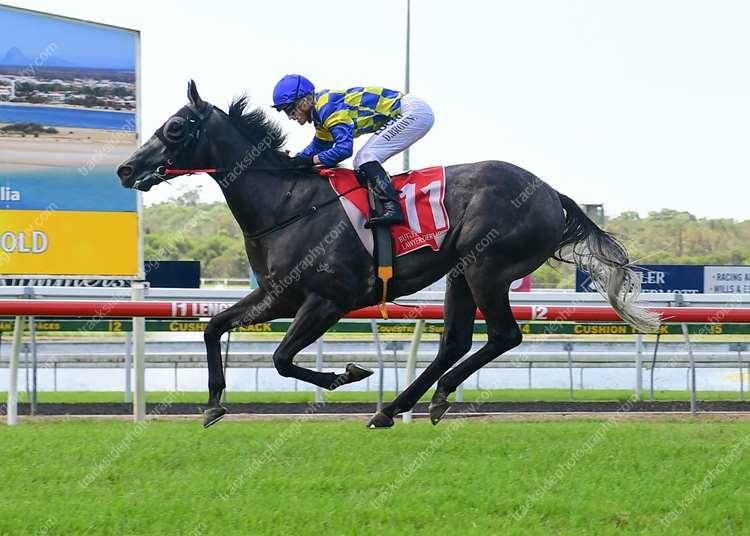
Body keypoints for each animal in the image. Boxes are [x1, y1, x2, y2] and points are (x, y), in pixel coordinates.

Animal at [117, 81, 659, 429]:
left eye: (175, 127)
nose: (126, 168)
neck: (287, 205)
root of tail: (551, 194)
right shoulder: (278, 297)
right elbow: (213, 327)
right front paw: (212, 405)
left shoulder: (328, 300)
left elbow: (282, 359)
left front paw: (346, 373)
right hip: (460, 272)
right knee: (455, 341)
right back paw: (396, 407)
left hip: (487, 267)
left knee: (503, 335)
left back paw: (426, 400)